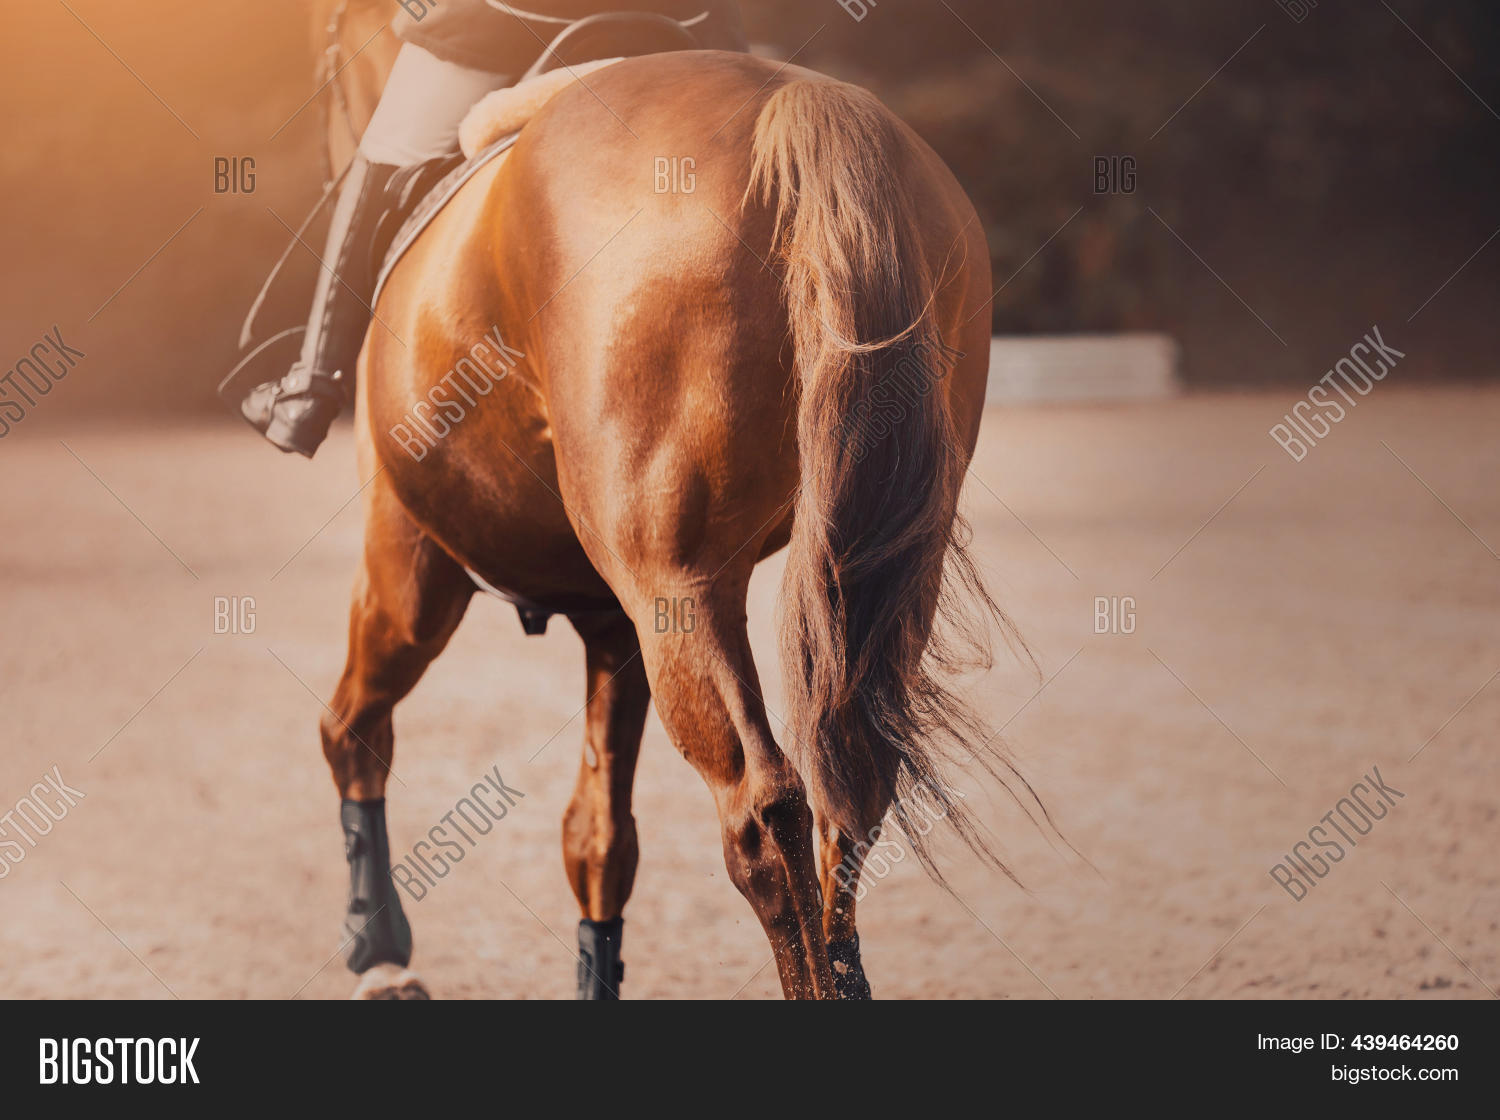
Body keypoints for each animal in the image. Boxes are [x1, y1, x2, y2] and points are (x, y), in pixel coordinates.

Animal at [311, 8, 1013, 1000]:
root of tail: (794, 105)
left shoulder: (410, 560)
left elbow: (352, 731)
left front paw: (380, 953)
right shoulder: (612, 624)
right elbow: (599, 840)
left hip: (665, 581)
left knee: (763, 811)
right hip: (876, 573)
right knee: (854, 787)